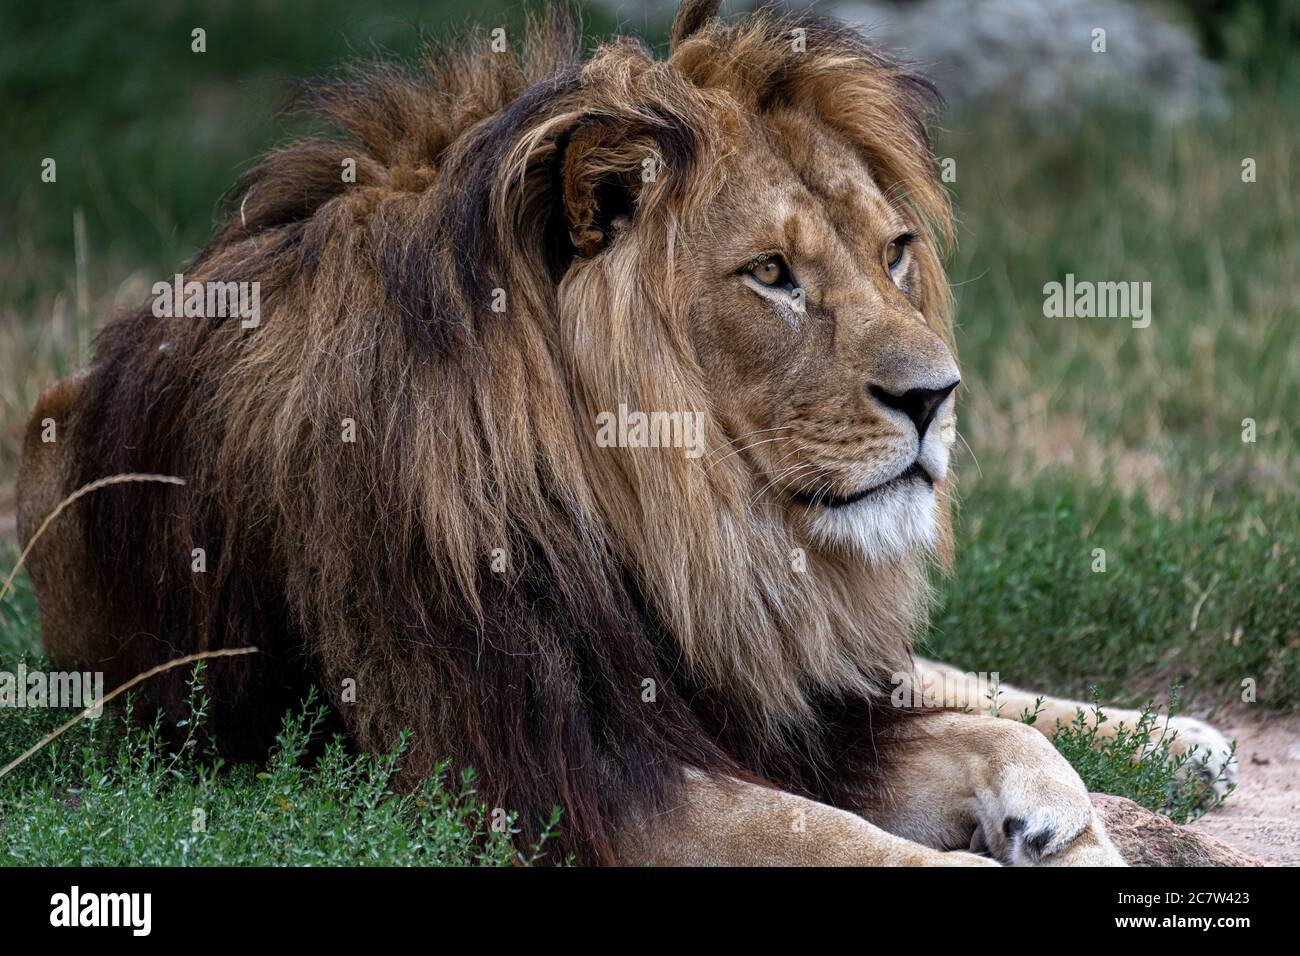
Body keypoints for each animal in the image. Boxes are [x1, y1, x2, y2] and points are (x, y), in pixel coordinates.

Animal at [15, 0, 1232, 865]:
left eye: (892, 252)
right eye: (772, 275)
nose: (938, 396)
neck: (669, 525)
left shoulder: (762, 703)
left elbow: (963, 722)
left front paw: (1070, 816)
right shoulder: (561, 782)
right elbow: (839, 840)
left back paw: (1182, 743)